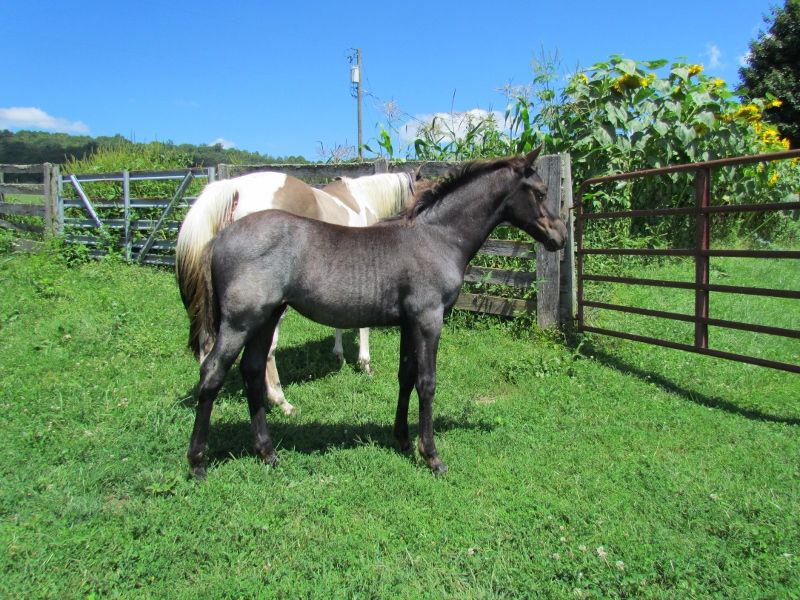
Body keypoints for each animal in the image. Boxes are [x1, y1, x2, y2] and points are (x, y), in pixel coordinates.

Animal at [175, 169, 417, 416]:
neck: (363, 198)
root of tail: (235, 188)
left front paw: (338, 355)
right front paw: (365, 365)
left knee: (207, 349)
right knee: (266, 351)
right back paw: (282, 403)